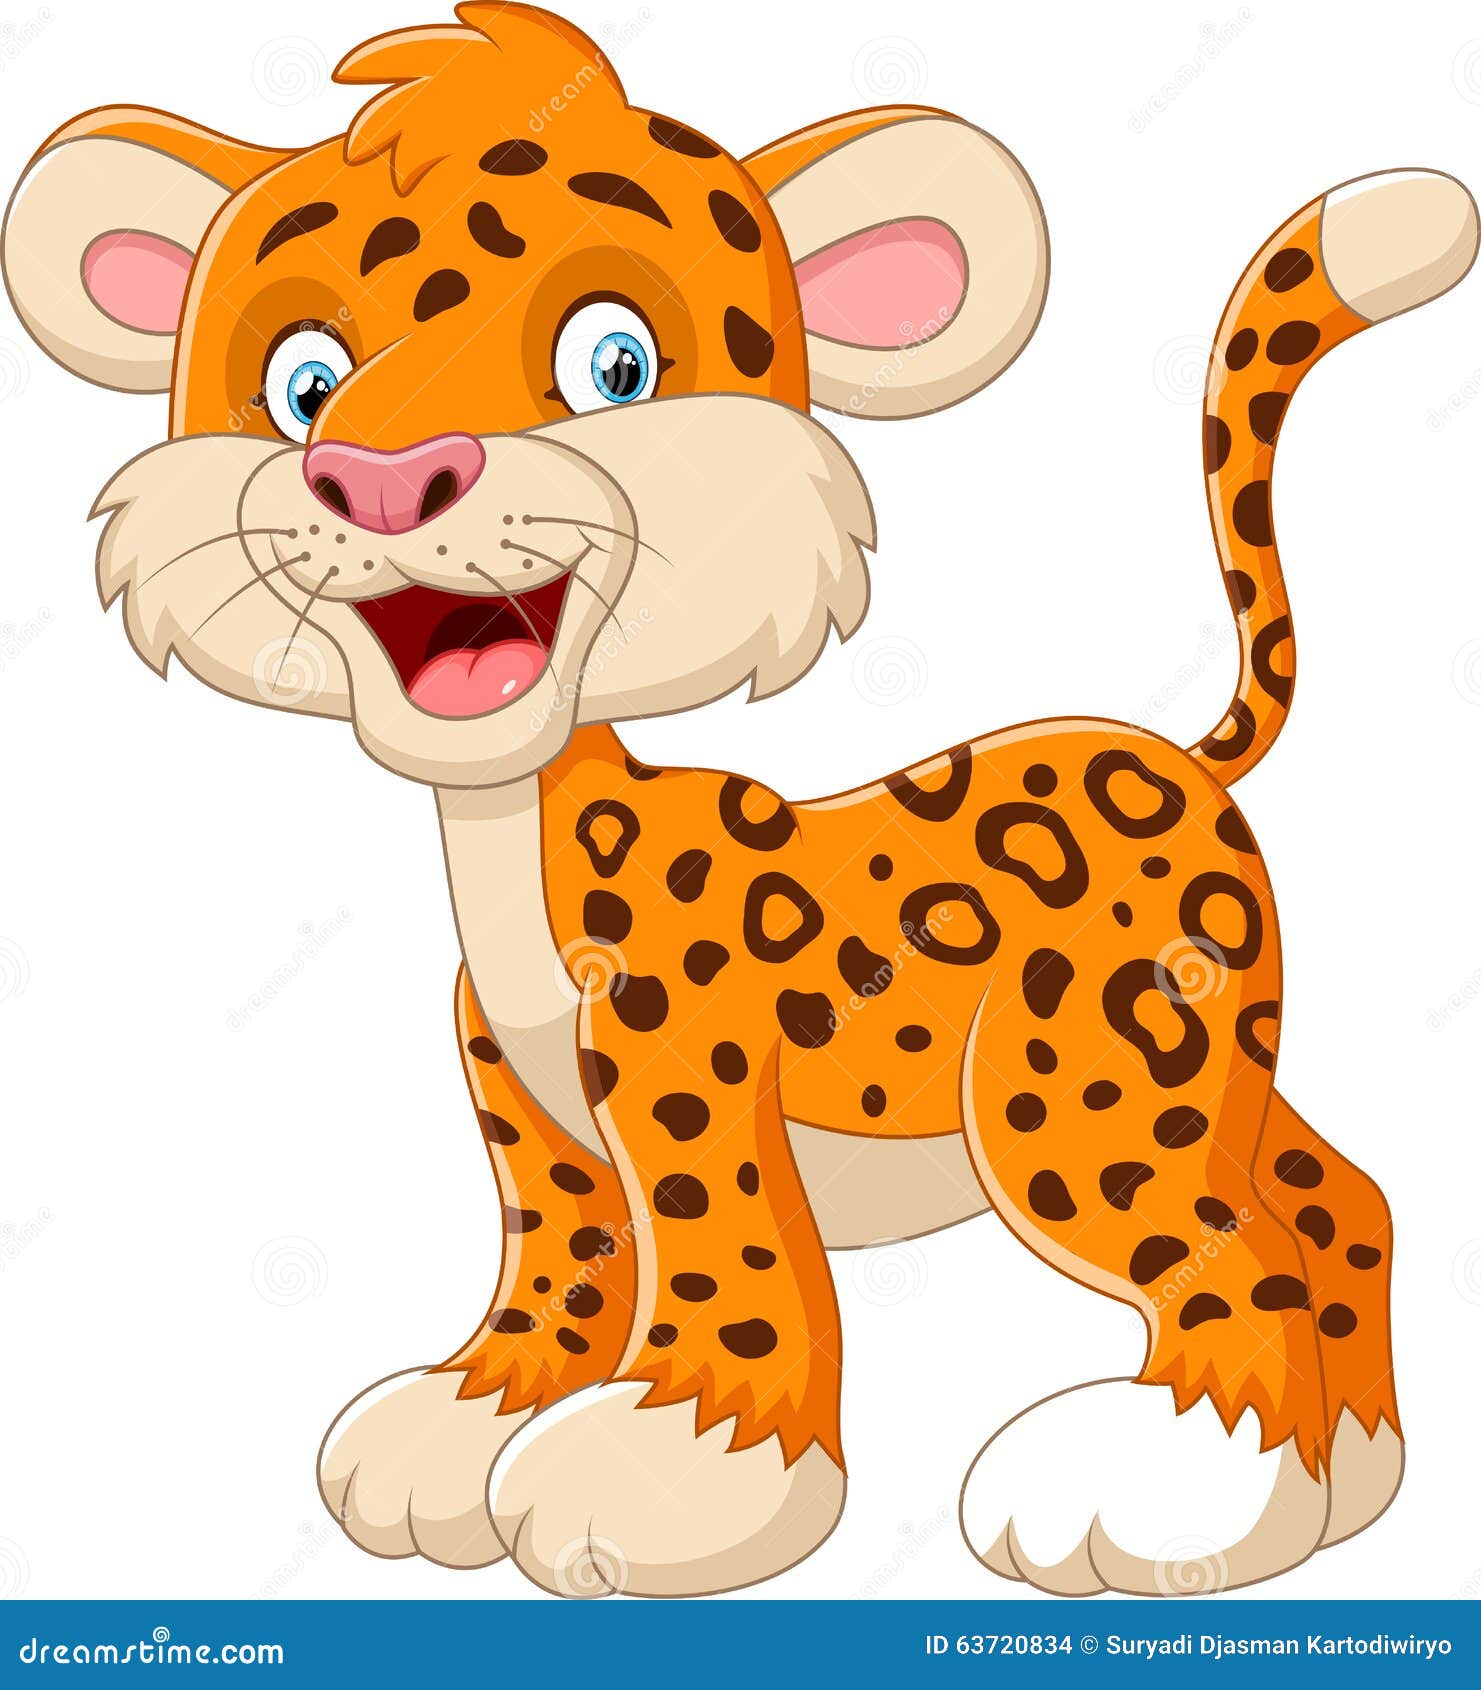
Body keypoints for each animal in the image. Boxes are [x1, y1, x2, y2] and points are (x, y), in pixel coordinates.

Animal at [5, 0, 1477, 1598]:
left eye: (615, 361)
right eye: (303, 383)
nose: (383, 480)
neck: (507, 837)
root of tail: (1174, 753)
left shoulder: (687, 1092)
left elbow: (727, 1275)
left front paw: (674, 1474)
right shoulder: (537, 1132)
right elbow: (558, 1275)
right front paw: (464, 1421)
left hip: (1075, 1093)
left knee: (1233, 1250)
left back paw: (1169, 1491)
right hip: (1213, 1074)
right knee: (1339, 1202)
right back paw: (1350, 1481)